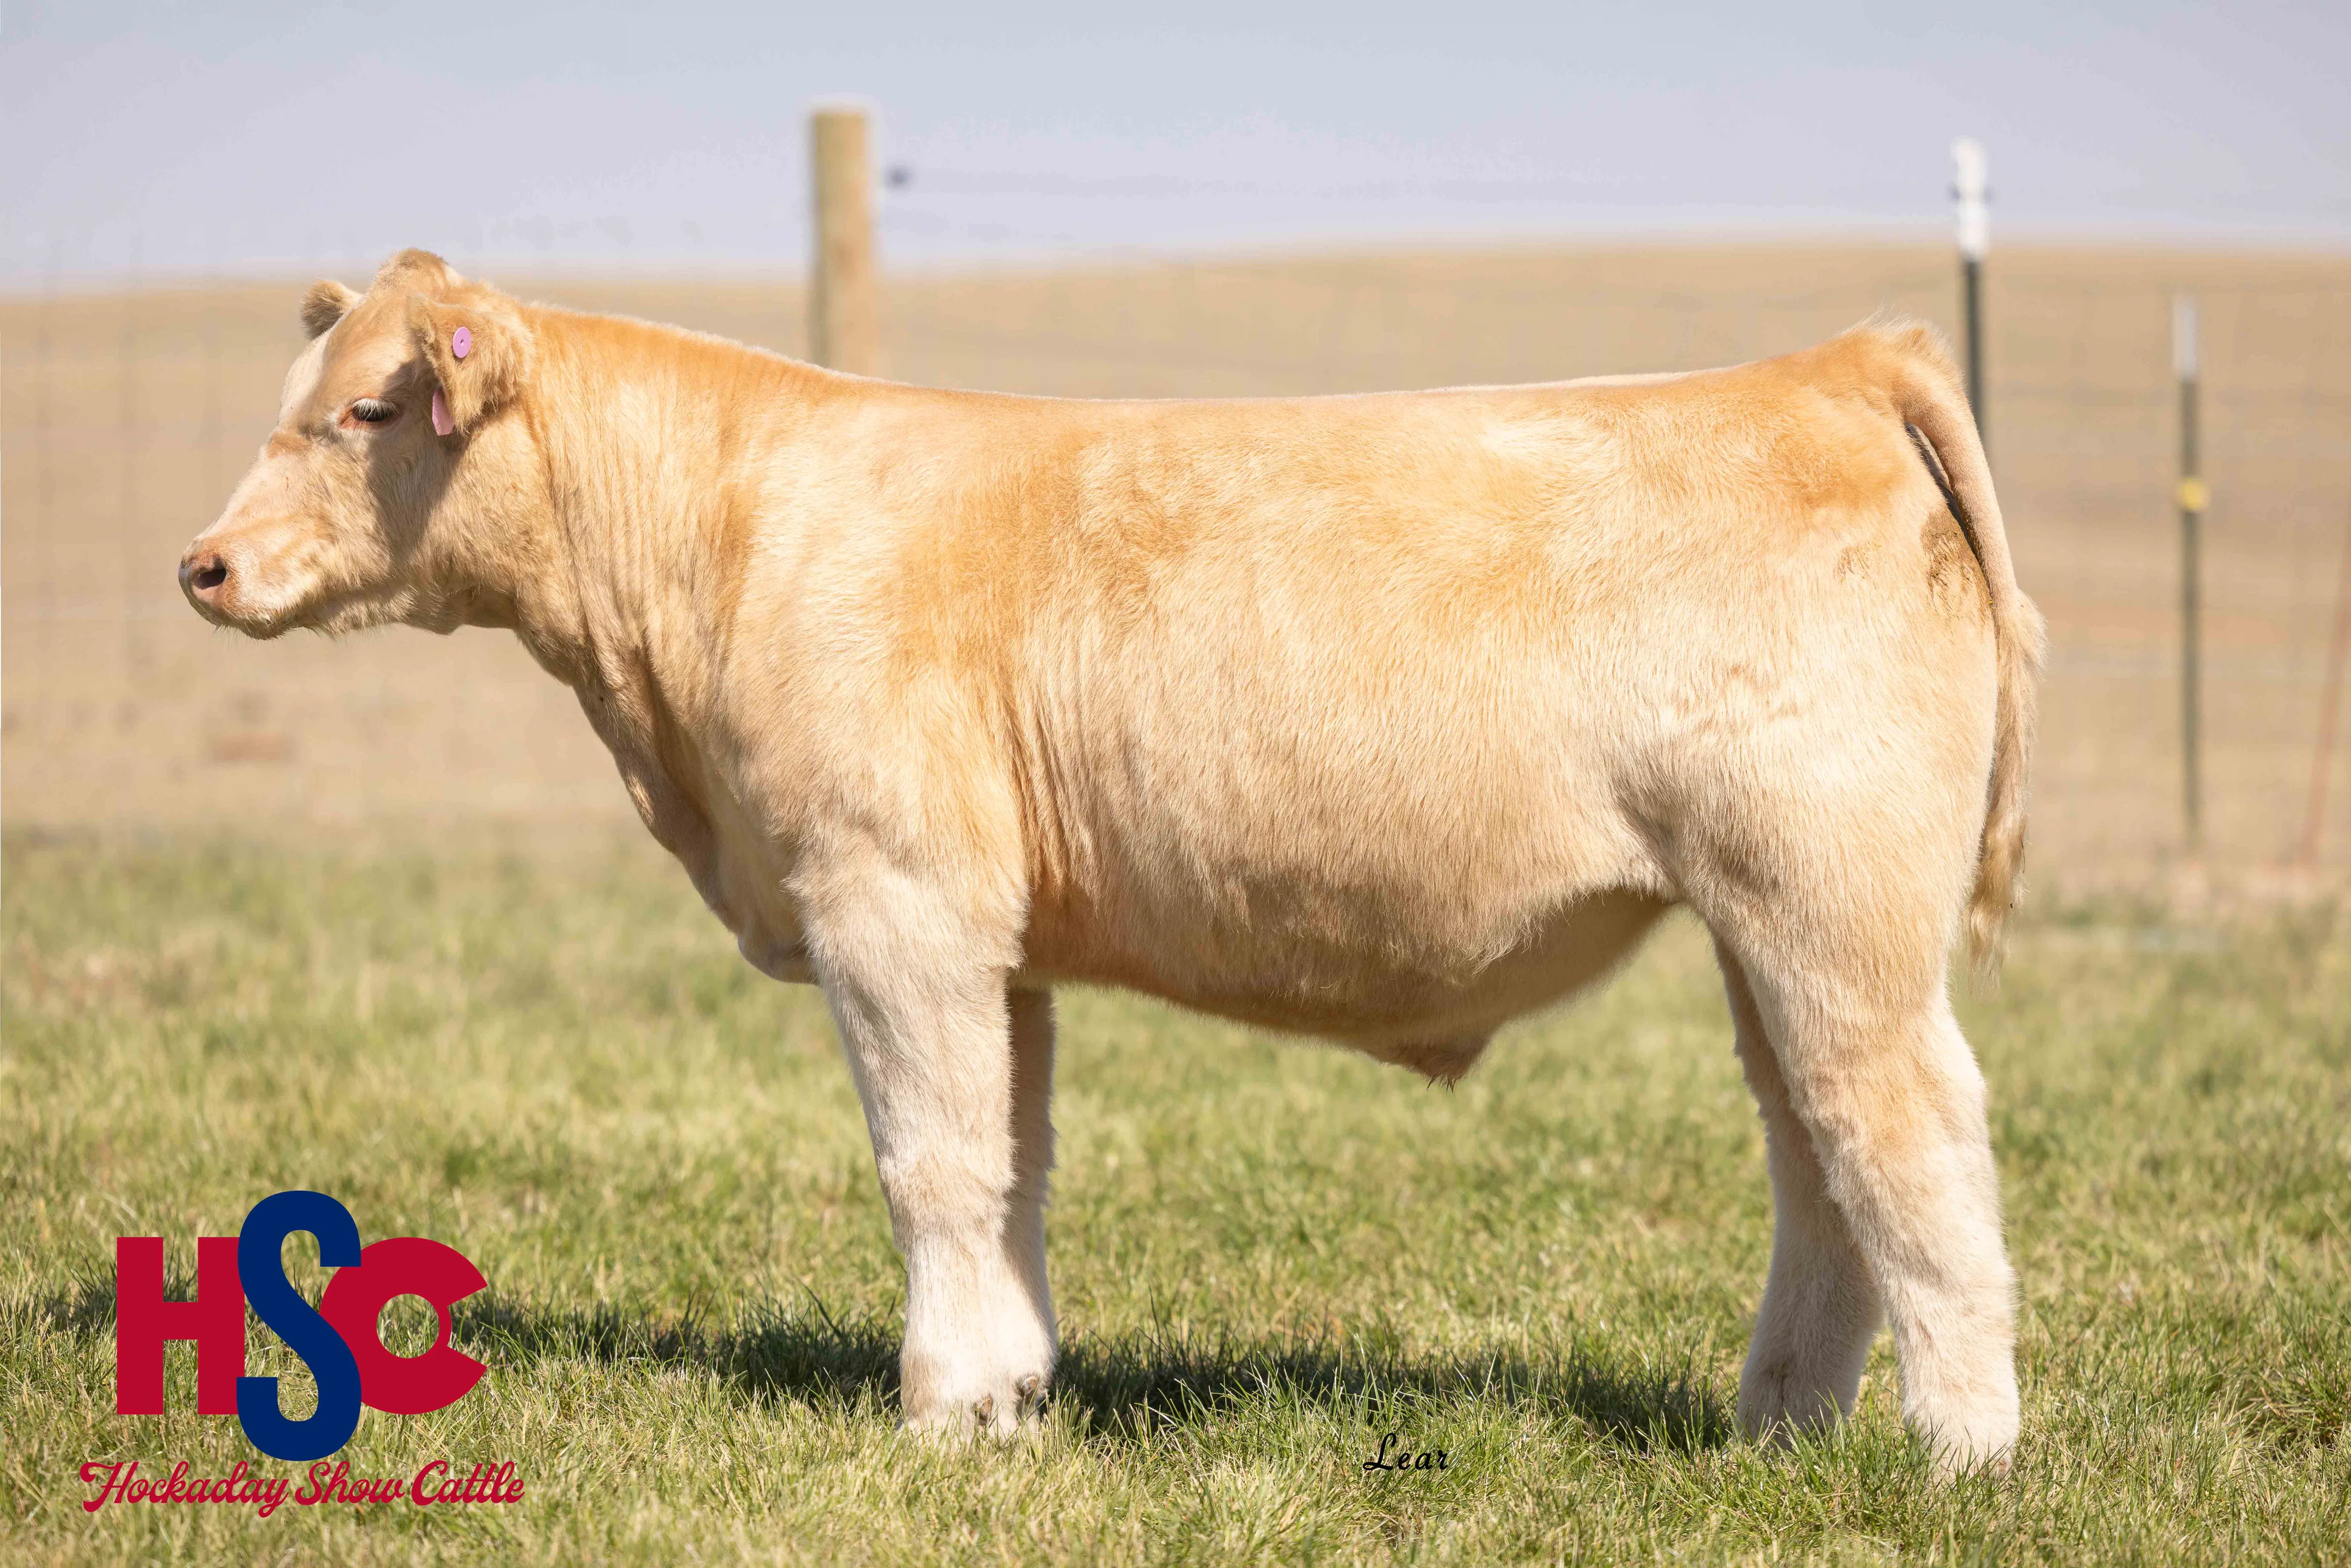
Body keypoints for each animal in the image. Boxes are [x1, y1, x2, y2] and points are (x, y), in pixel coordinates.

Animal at [180, 249, 2042, 1469]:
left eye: (370, 408)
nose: (202, 565)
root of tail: (1828, 363)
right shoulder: (991, 938)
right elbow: (1009, 1163)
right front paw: (1007, 1398)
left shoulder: (889, 897)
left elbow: (929, 1164)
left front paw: (937, 1413)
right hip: (1766, 933)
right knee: (1814, 1156)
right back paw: (1777, 1428)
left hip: (1830, 911)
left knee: (1907, 1139)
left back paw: (1958, 1454)